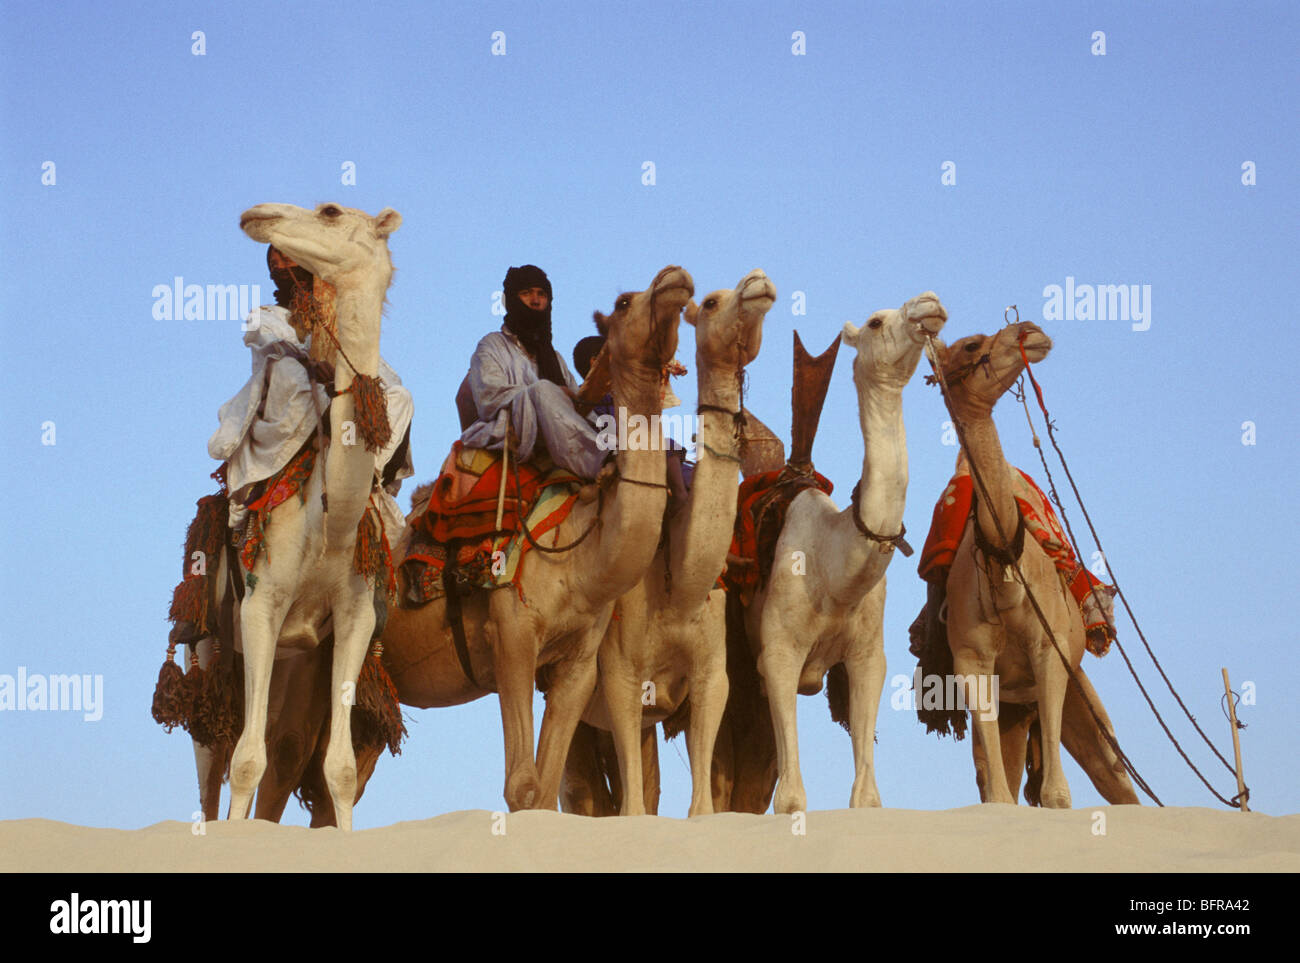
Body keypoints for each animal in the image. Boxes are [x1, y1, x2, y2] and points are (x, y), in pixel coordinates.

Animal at [223, 202, 402, 831]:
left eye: (329, 211)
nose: (258, 213)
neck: (330, 524)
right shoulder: (260, 604)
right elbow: (244, 761)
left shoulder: (356, 617)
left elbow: (339, 770)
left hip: (297, 673)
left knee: (285, 758)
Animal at [375, 266, 693, 812]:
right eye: (625, 302)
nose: (675, 276)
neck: (582, 556)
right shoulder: (512, 633)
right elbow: (522, 786)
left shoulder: (578, 661)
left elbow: (545, 791)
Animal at [561, 269, 776, 816]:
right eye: (715, 302)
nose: (759, 281)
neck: (678, 586)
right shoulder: (619, 673)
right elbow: (634, 807)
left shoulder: (711, 673)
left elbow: (700, 803)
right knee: (581, 788)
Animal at [747, 292, 948, 814]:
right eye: (876, 322)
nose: (930, 304)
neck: (835, 570)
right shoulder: (778, 653)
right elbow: (791, 799)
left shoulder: (868, 656)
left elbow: (866, 797)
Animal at [932, 320, 1130, 808]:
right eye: (971, 345)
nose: (1029, 330)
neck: (1004, 558)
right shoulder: (972, 662)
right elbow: (999, 795)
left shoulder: (1051, 652)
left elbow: (1058, 794)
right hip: (1016, 710)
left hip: (1075, 687)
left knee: (1114, 772)